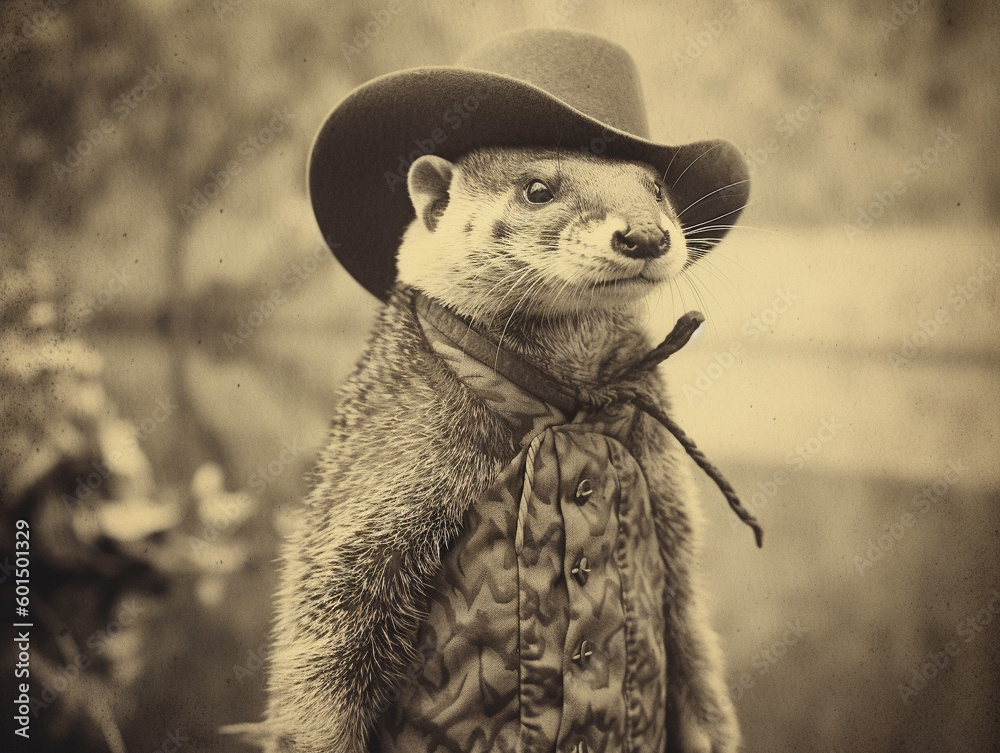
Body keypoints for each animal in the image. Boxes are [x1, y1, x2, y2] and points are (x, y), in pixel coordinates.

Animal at [263, 147, 744, 753]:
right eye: (537, 189)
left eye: (656, 188)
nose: (645, 234)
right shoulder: (361, 510)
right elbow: (321, 656)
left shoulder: (673, 514)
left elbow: (692, 641)